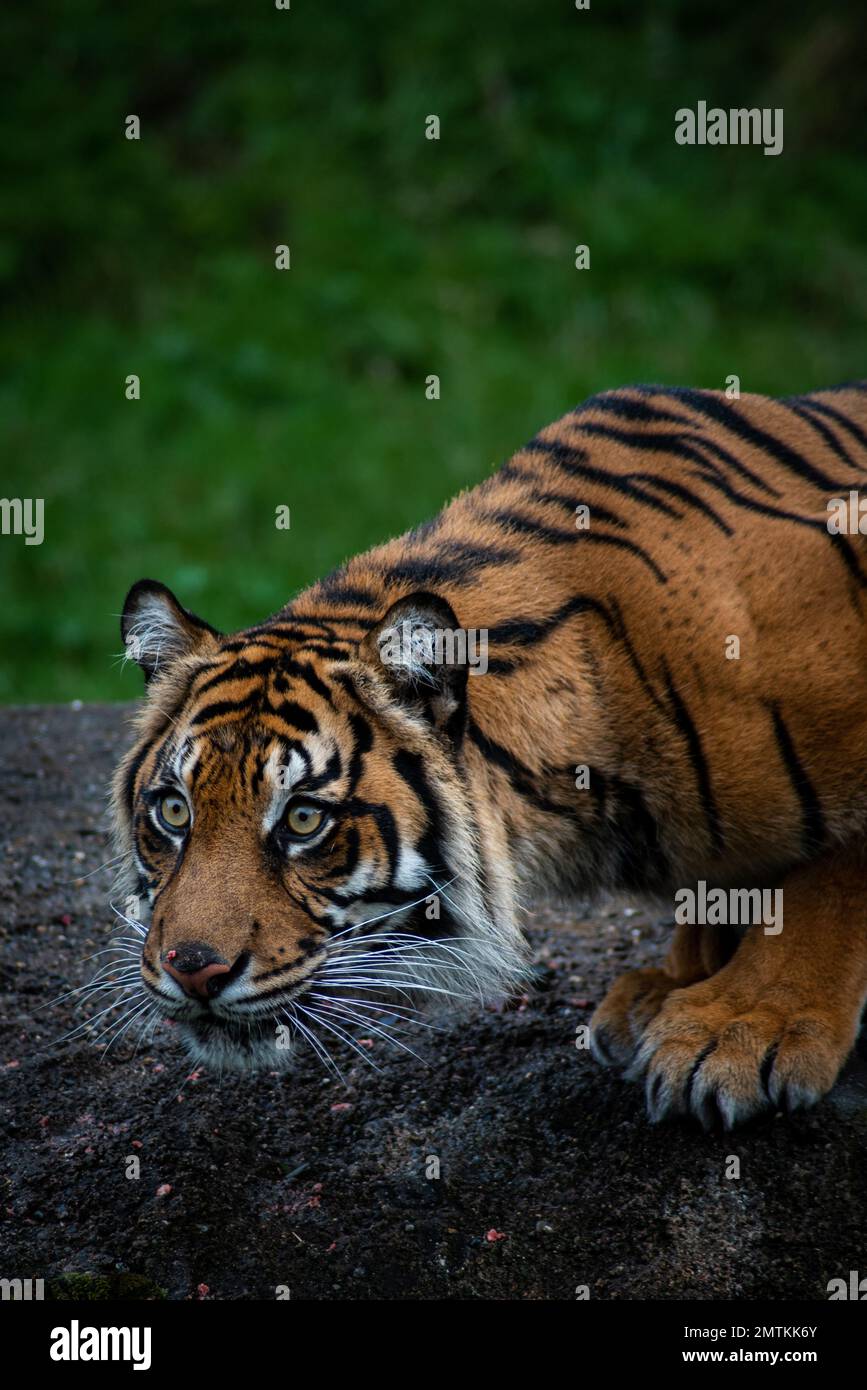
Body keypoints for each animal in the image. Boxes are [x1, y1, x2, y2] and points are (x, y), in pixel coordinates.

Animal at [111, 381, 867, 1129]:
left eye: (303, 819)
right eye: (174, 811)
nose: (192, 967)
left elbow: (827, 880)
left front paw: (741, 1026)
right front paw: (674, 987)